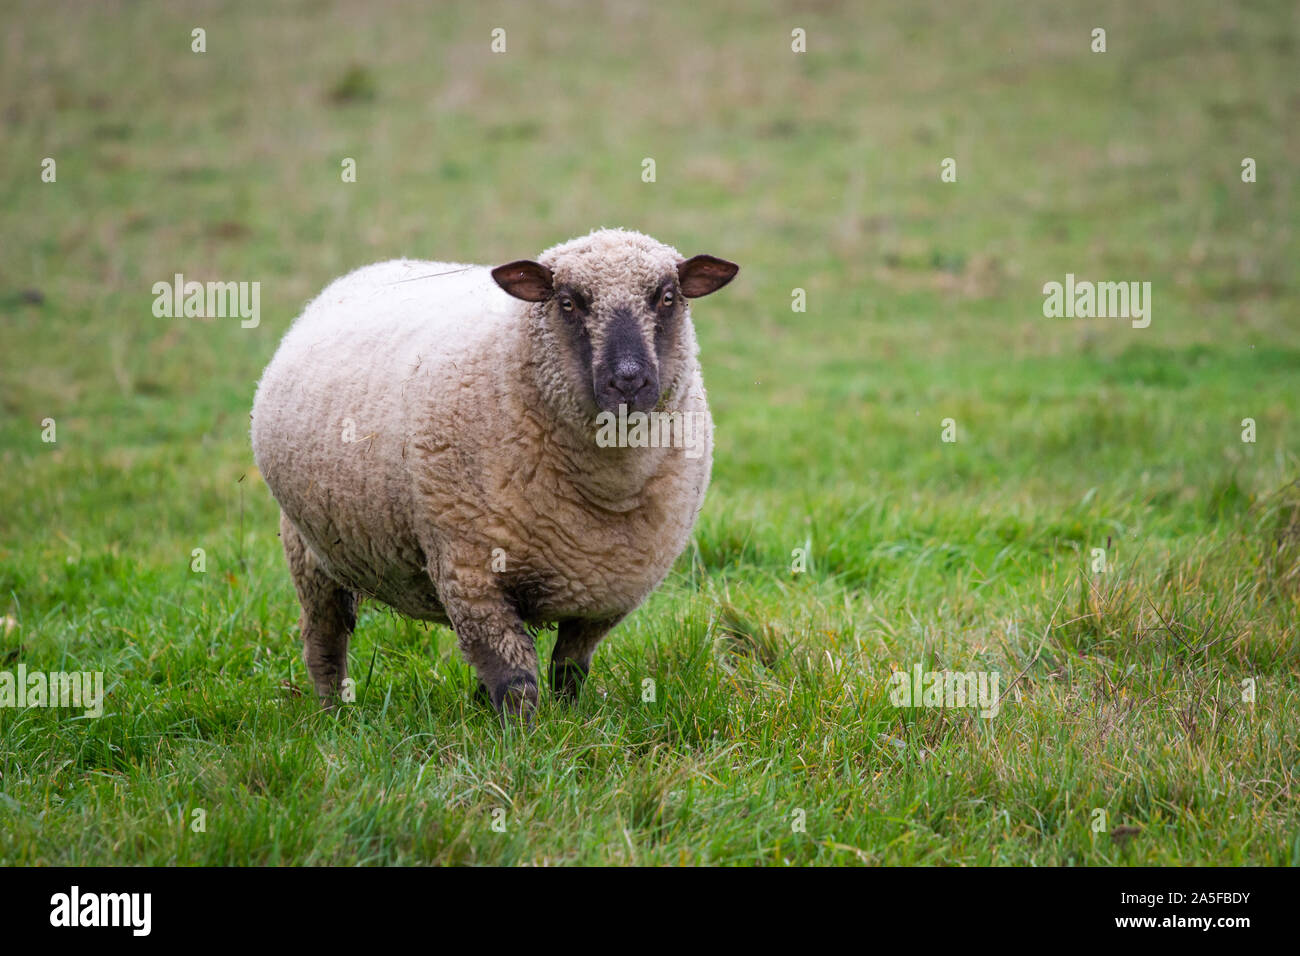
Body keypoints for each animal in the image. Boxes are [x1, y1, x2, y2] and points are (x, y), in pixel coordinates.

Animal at [251, 228, 738, 722]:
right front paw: (522, 737)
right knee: (324, 642)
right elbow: (515, 681)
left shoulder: (607, 592)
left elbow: (570, 669)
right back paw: (334, 713)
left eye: (668, 297)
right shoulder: (471, 576)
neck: (604, 492)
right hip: (306, 551)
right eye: (567, 302)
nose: (629, 381)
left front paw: (571, 720)